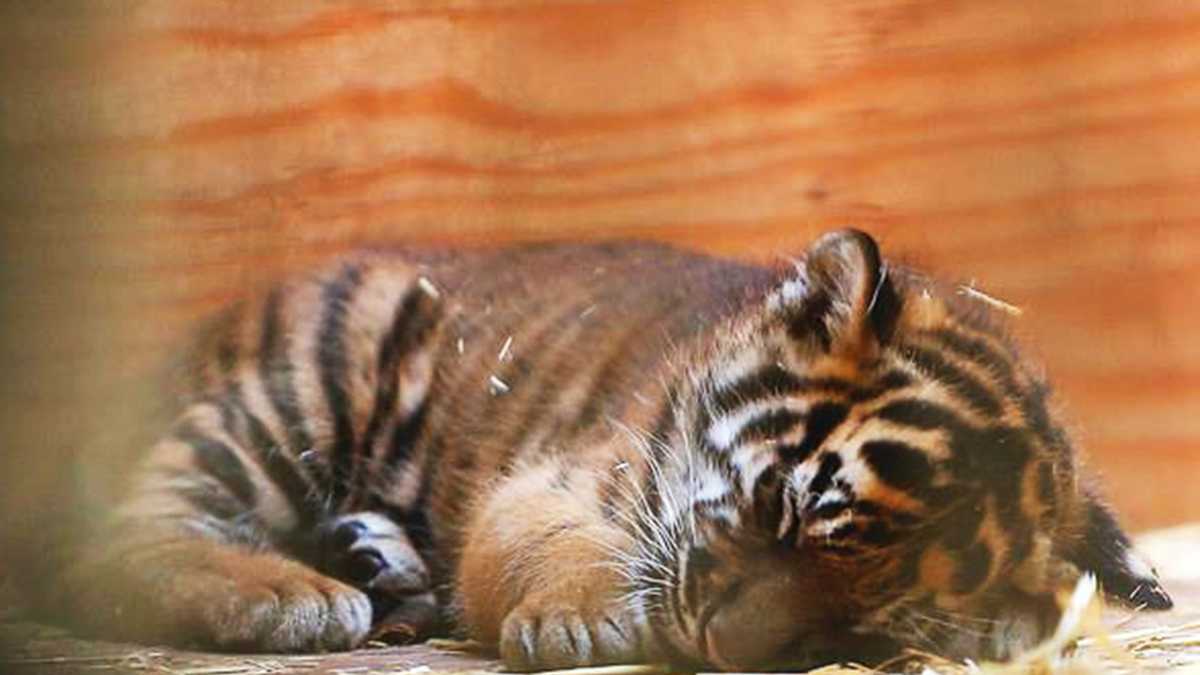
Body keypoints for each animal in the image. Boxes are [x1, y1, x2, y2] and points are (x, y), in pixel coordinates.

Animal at [49, 229, 1171, 670]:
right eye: (782, 509)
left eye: (867, 620)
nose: (725, 645)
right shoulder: (559, 478)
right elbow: (553, 545)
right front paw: (582, 620)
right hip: (302, 382)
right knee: (118, 534)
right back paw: (293, 592)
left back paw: (377, 561)